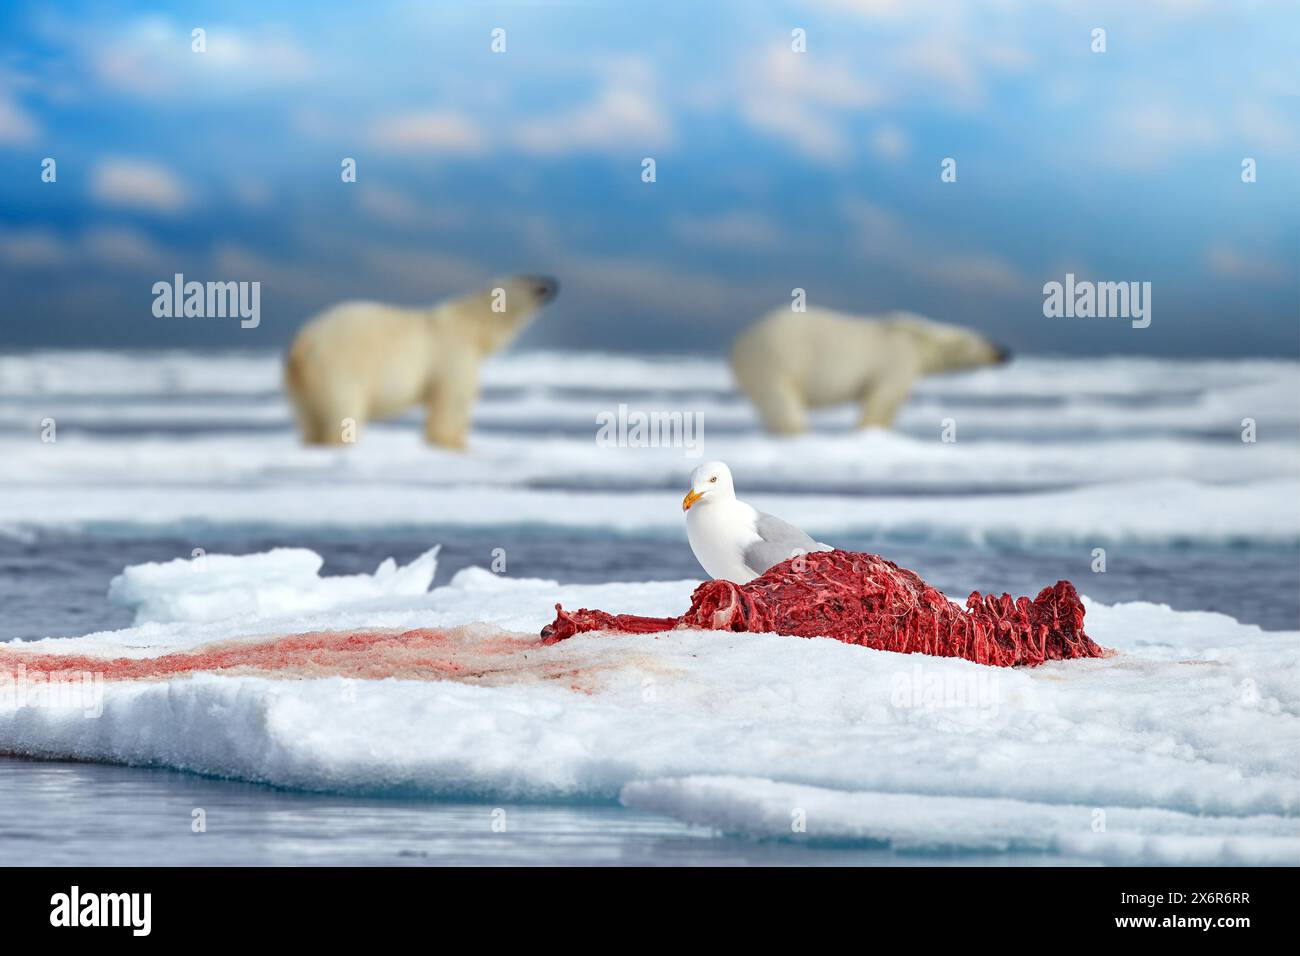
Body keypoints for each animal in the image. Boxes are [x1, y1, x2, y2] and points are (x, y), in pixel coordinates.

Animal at [285, 275, 558, 448]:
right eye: (535, 282)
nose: (554, 283)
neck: (469, 326)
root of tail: (300, 350)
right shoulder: (454, 357)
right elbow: (451, 404)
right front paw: (455, 443)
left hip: (301, 390)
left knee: (309, 420)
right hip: (339, 370)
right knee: (342, 413)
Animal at [730, 307, 1009, 434]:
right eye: (985, 342)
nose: (1005, 352)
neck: (916, 340)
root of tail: (737, 345)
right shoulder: (895, 363)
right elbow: (881, 400)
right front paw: (869, 431)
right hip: (775, 361)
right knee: (782, 404)